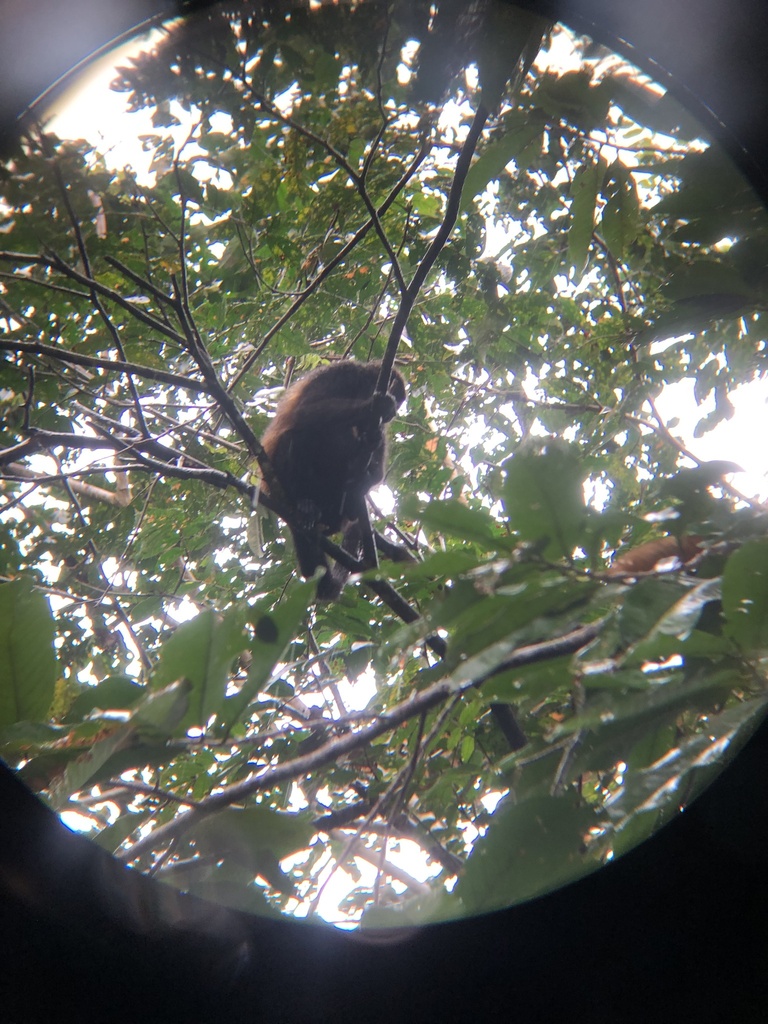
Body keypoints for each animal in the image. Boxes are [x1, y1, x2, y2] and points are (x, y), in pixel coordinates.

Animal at [259, 359, 407, 600]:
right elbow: (303, 413)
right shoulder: (340, 374)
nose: (393, 414)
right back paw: (304, 505)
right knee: (296, 437)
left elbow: (378, 468)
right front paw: (374, 406)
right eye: (397, 396)